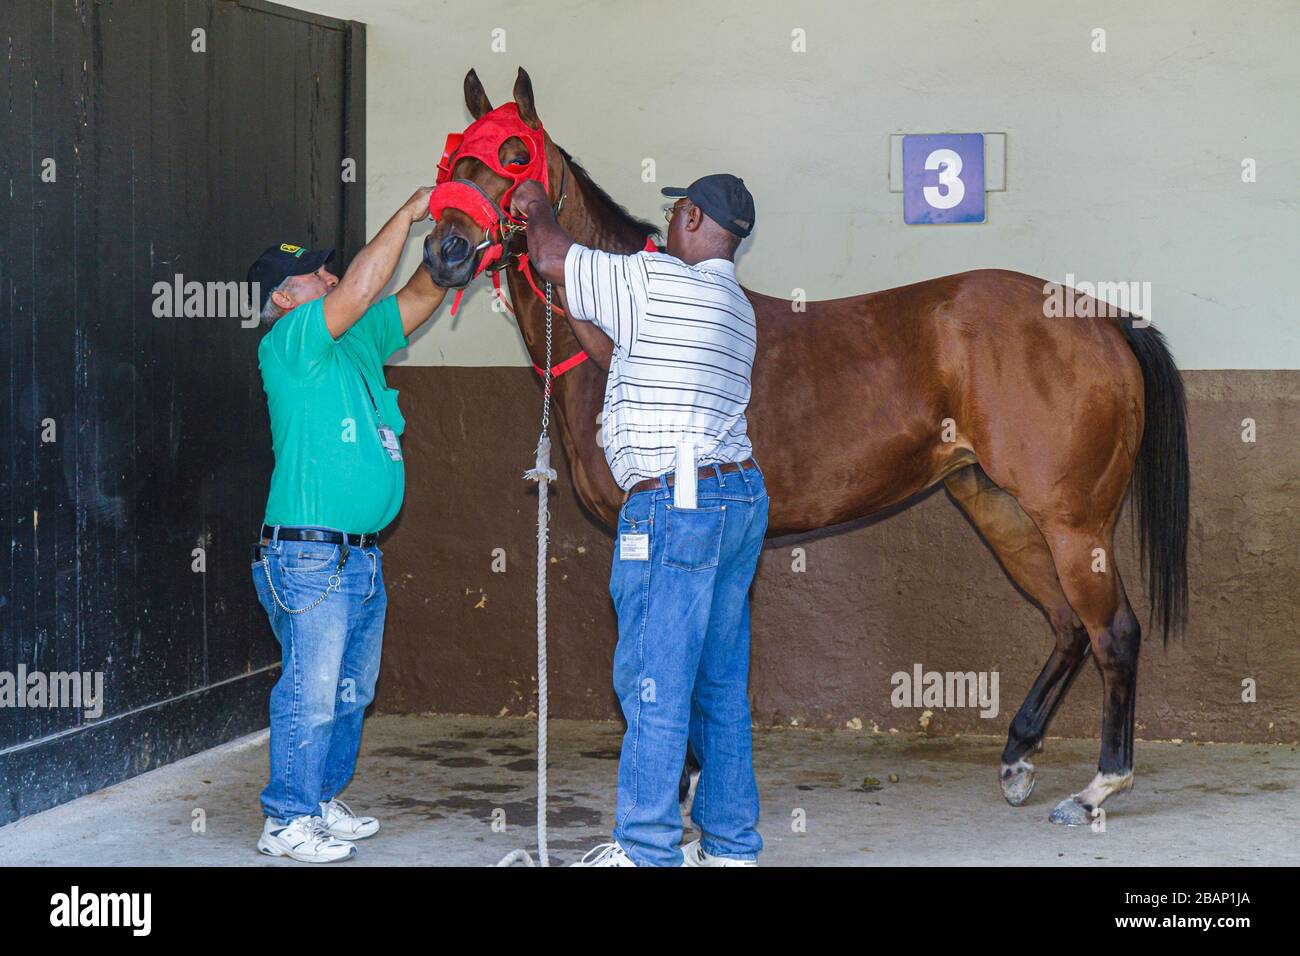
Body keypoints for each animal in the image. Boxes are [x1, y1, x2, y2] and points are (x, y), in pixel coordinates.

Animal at [422, 67, 1189, 826]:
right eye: (452, 154)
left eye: (515, 155)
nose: (443, 252)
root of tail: (1103, 319)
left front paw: (683, 786)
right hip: (1000, 509)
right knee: (1067, 625)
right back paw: (1019, 754)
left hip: (1073, 523)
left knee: (1114, 632)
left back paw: (1100, 786)